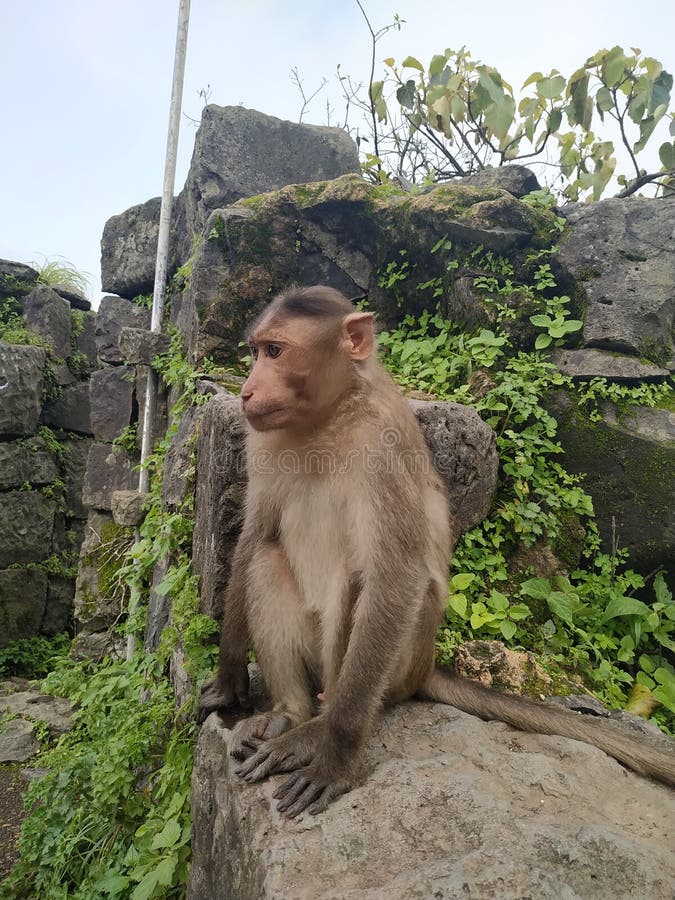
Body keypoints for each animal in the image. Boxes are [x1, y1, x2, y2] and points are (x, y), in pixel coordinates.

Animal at [198, 285, 675, 818]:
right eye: (256, 351)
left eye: (276, 352)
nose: (246, 391)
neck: (329, 417)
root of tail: (426, 664)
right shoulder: (262, 439)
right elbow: (253, 538)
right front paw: (229, 679)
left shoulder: (382, 448)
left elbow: (397, 576)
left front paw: (334, 760)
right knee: (266, 559)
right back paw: (288, 715)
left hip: (398, 665)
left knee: (367, 586)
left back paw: (318, 727)